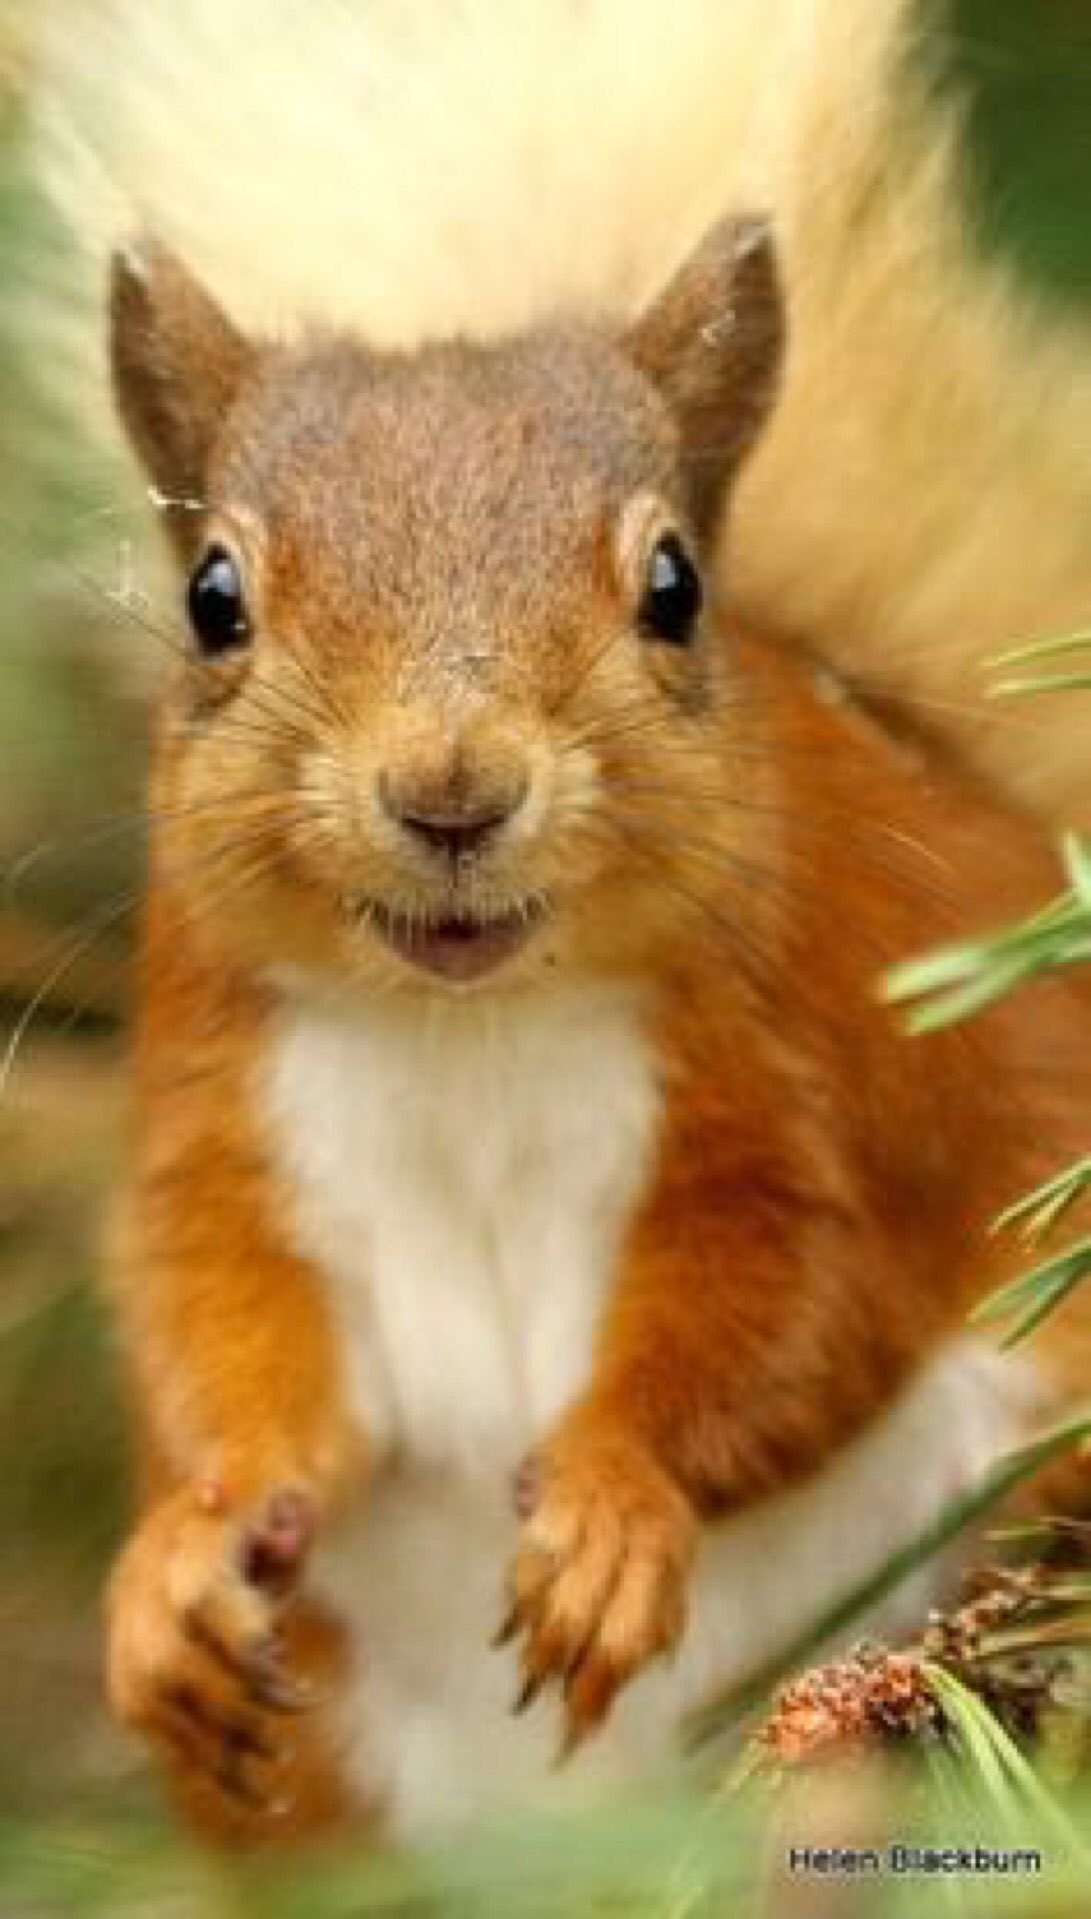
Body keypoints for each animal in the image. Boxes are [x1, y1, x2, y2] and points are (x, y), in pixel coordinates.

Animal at [19, 0, 1091, 1847]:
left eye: (672, 586)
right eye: (212, 598)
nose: (450, 789)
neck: (471, 1029)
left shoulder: (823, 1071)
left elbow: (797, 1307)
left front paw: (606, 1501)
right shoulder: (222, 1107)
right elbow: (208, 1320)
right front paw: (176, 1557)